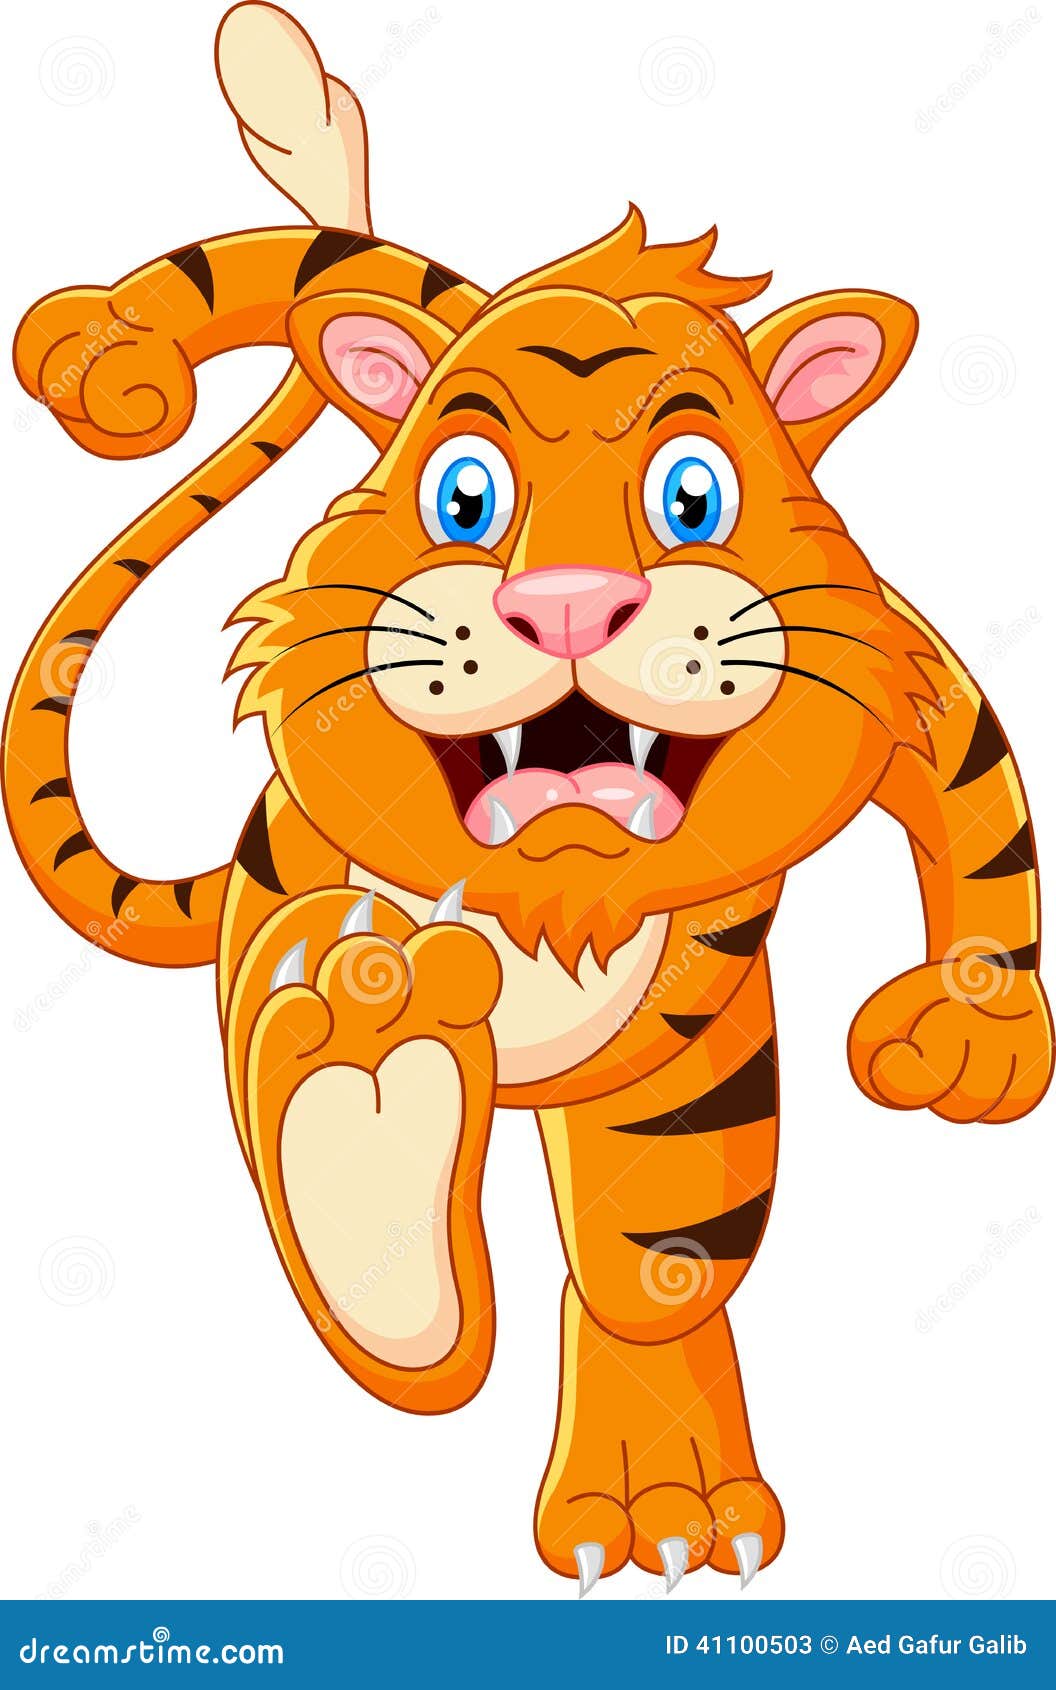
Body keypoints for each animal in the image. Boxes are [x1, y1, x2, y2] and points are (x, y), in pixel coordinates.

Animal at [5, 4, 1051, 1595]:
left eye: (691, 494)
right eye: (465, 497)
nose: (565, 604)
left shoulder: (881, 716)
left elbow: (973, 806)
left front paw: (970, 1038)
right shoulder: (288, 913)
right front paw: (367, 1090)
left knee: (650, 1267)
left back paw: (666, 1504)